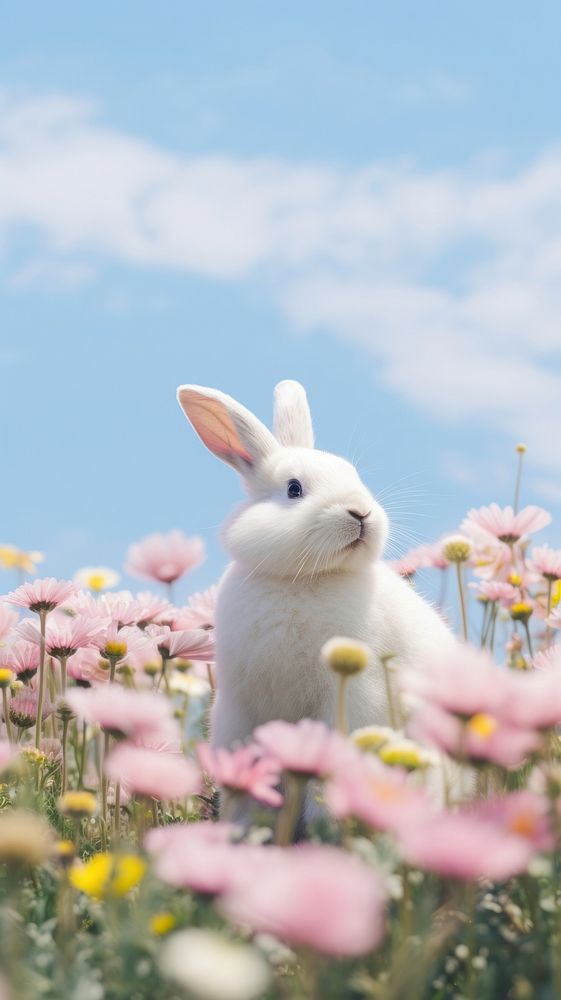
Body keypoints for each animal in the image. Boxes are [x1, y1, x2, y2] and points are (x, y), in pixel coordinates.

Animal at [176, 379, 455, 753]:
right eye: (294, 489)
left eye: (354, 475)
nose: (361, 512)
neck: (302, 578)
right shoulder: (238, 703)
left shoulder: (353, 691)